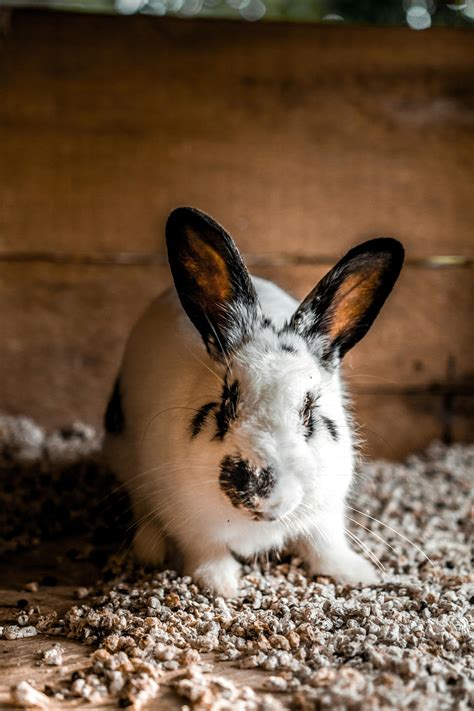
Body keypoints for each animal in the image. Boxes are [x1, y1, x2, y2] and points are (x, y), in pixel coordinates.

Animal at [103, 207, 404, 598]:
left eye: (309, 410)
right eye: (227, 403)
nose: (262, 492)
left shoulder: (327, 509)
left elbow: (325, 543)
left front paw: (355, 573)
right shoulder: (188, 518)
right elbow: (207, 549)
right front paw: (221, 584)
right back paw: (149, 549)